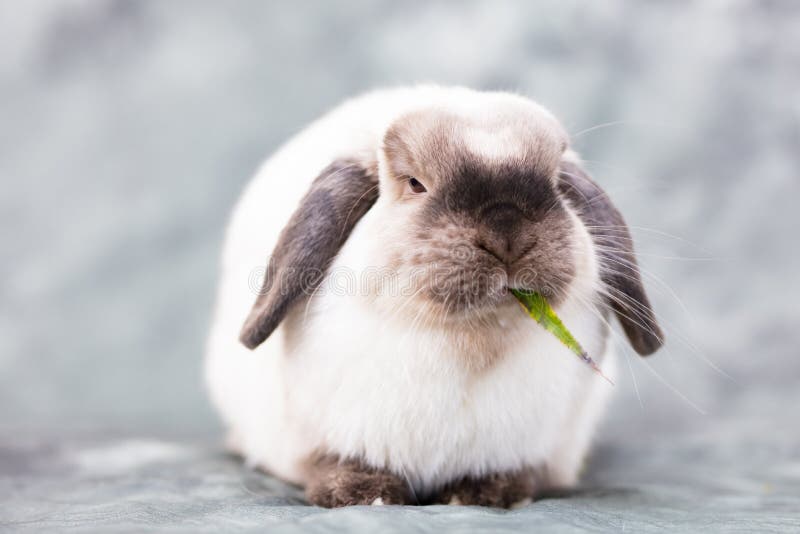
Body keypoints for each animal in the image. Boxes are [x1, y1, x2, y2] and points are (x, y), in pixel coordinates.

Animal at [205, 85, 662, 508]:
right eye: (415, 184)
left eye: (555, 185)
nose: (506, 230)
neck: (471, 340)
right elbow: (331, 462)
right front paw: (360, 494)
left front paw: (487, 494)